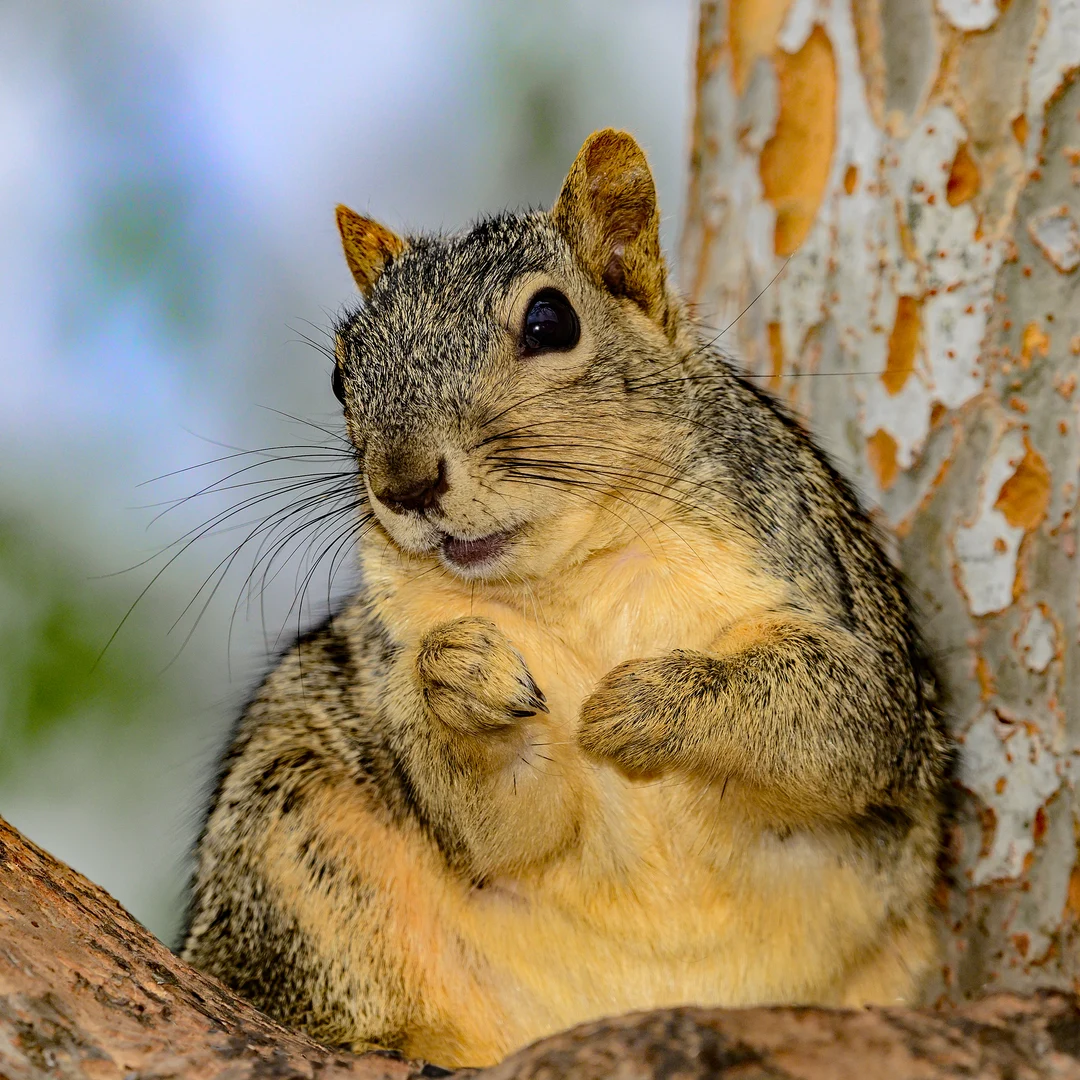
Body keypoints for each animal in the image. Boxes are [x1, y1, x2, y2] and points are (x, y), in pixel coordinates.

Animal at [180, 129, 949, 1069]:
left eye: (551, 322)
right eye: (339, 374)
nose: (403, 484)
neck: (571, 573)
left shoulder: (824, 585)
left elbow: (845, 718)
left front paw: (650, 702)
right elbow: (501, 826)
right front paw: (454, 678)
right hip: (289, 822)